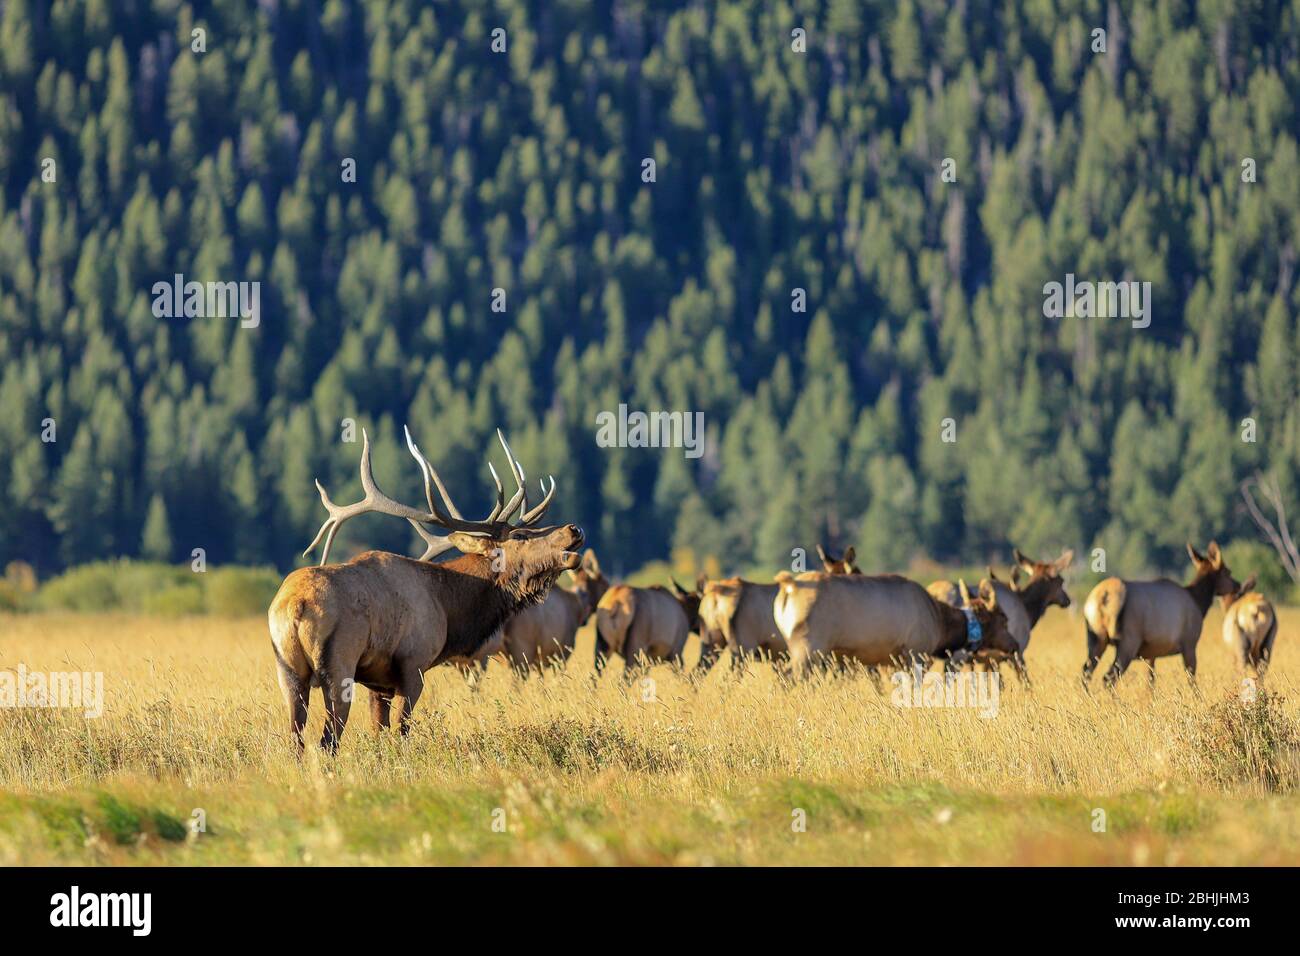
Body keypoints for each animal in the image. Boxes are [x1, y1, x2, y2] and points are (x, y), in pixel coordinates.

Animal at [268, 427, 583, 752]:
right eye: (520, 535)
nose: (573, 529)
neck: (448, 608)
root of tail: (296, 605)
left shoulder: (378, 682)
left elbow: (378, 731)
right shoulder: (413, 665)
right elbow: (401, 730)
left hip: (287, 670)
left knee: (296, 739)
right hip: (339, 665)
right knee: (327, 740)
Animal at [774, 570, 1017, 680]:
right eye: (1004, 619)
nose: (1014, 644)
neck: (942, 629)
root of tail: (789, 587)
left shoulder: (896, 660)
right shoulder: (916, 653)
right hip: (809, 645)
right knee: (788, 676)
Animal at [927, 548, 1073, 683]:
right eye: (1061, 581)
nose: (1067, 600)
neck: (1029, 611)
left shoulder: (987, 659)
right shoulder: (1017, 652)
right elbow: (1023, 682)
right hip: (956, 654)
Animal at [1082, 542, 1238, 689]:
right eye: (1228, 572)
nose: (1237, 586)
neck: (1199, 602)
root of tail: (1104, 595)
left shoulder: (1152, 653)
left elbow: (1150, 682)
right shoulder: (1189, 643)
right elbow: (1191, 680)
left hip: (1095, 638)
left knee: (1086, 673)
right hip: (1128, 641)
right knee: (1108, 678)